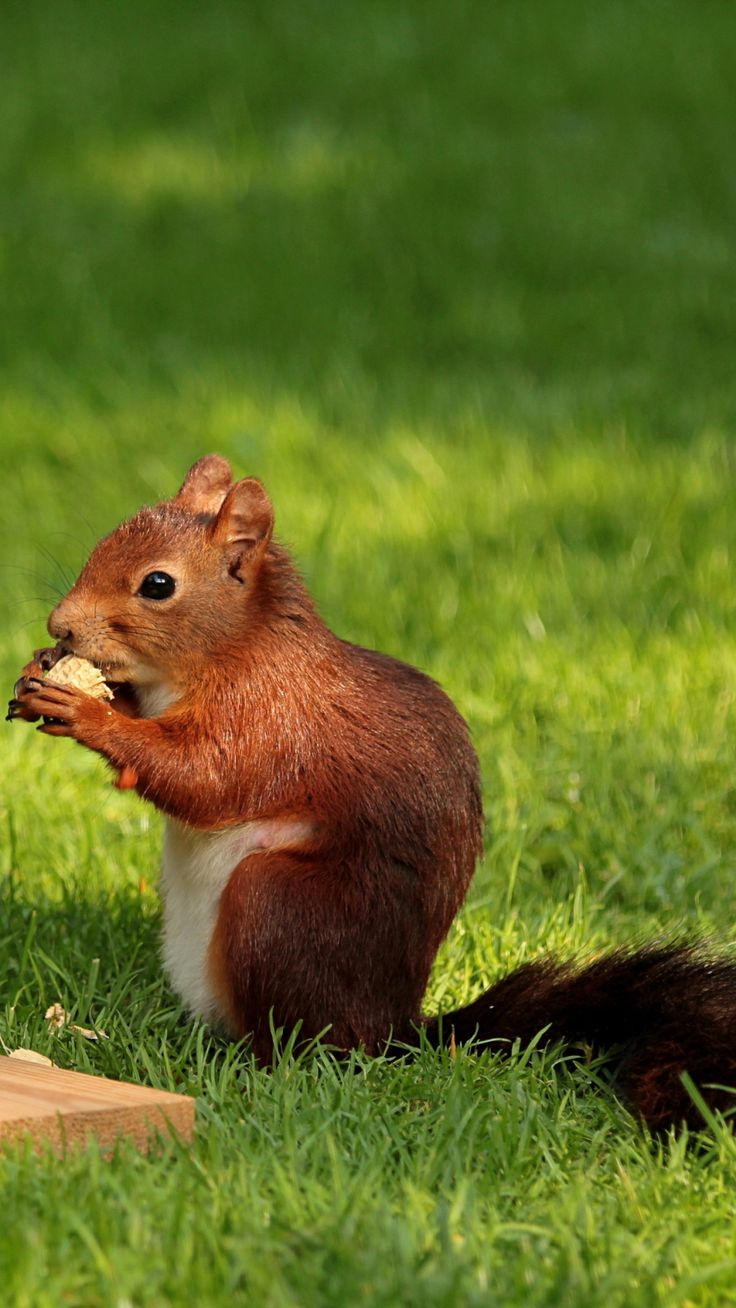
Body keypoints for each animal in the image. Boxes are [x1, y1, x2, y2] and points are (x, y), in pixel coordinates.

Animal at [8, 454, 736, 1134]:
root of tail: (396, 1030)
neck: (227, 652)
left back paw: (255, 1075)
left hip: (278, 909)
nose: (59, 626)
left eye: (157, 585)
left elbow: (203, 778)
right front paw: (46, 675)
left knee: (307, 1045)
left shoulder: (272, 720)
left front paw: (87, 714)